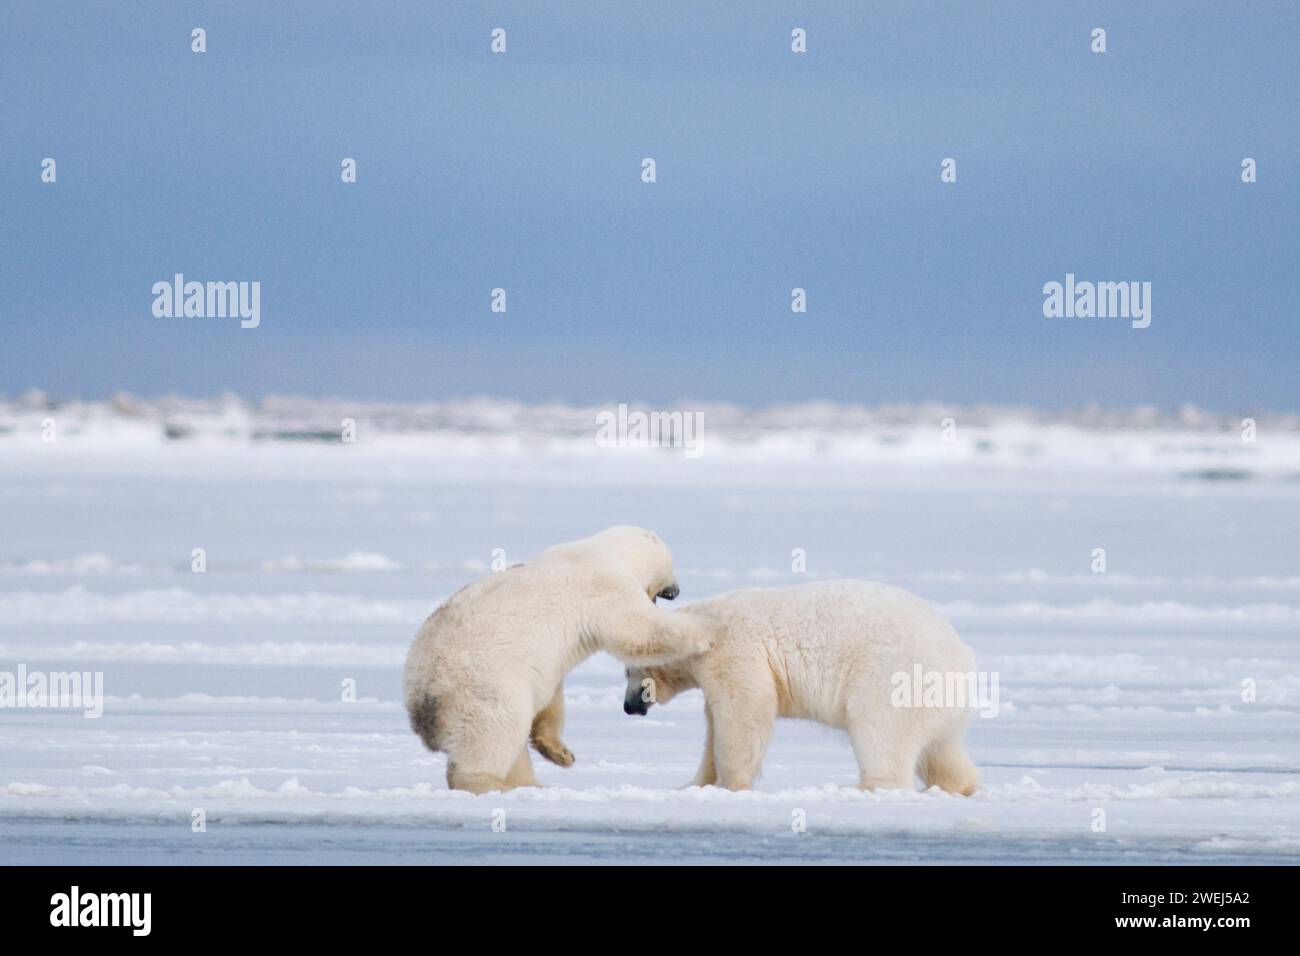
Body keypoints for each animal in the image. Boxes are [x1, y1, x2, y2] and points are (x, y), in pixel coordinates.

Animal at [404, 526, 713, 794]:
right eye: (671, 566)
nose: (677, 590)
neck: (606, 552)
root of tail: (421, 707)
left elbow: (551, 694)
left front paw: (560, 752)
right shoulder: (605, 589)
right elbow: (638, 630)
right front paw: (704, 632)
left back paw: (532, 782)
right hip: (485, 690)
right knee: (493, 736)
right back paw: (493, 783)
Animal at [623, 580, 980, 794]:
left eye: (628, 671)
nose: (628, 706)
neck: (701, 631)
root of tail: (962, 660)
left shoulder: (735, 650)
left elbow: (744, 713)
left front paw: (731, 785)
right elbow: (714, 726)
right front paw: (694, 785)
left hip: (892, 675)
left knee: (881, 733)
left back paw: (864, 788)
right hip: (939, 704)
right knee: (941, 749)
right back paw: (960, 785)